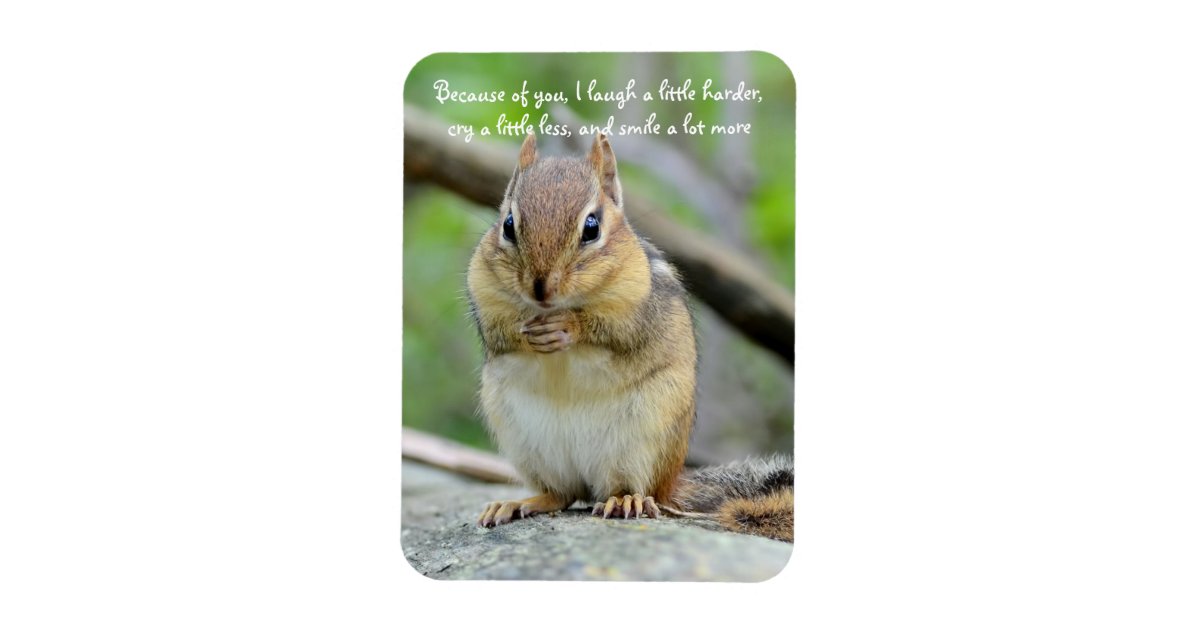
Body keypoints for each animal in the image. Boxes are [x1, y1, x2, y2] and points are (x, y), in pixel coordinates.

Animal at [466, 132, 793, 543]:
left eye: (592, 227)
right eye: (508, 224)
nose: (541, 288)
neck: (553, 306)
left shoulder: (636, 308)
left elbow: (614, 332)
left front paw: (567, 327)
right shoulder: (484, 295)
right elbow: (500, 331)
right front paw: (529, 333)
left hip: (642, 442)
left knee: (629, 489)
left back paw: (625, 501)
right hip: (526, 443)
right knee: (561, 494)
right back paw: (517, 503)